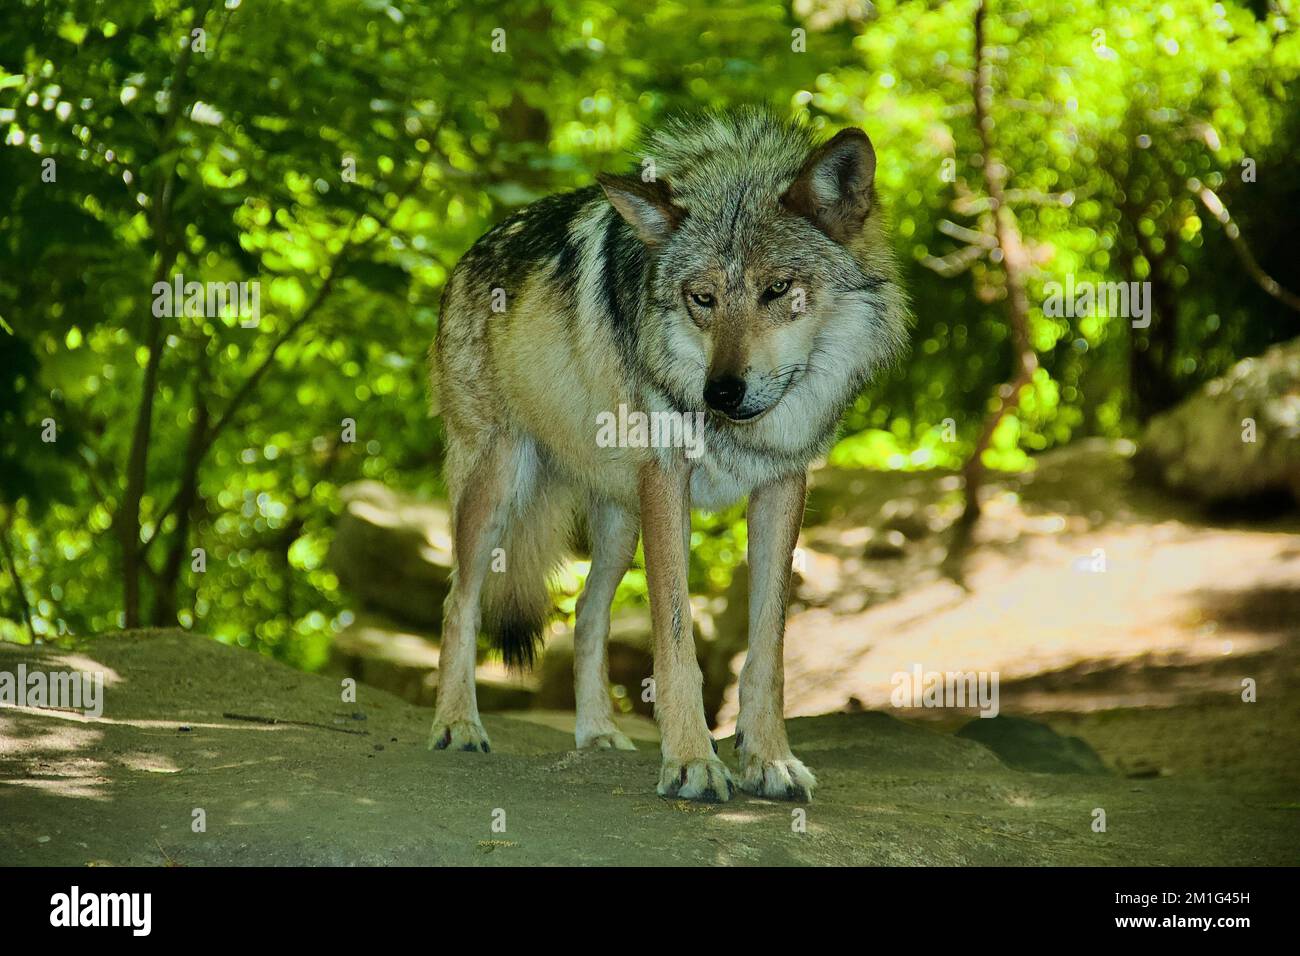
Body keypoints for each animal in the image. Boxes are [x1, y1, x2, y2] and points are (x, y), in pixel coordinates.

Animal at [429, 107, 909, 802]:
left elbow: (768, 649)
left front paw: (769, 760)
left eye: (778, 289)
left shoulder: (783, 486)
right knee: (458, 603)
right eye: (701, 298)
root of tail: (473, 249)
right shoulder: (667, 480)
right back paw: (457, 723)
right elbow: (677, 639)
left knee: (585, 613)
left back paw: (597, 735)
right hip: (500, 486)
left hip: (618, 521)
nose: (721, 392)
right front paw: (691, 762)